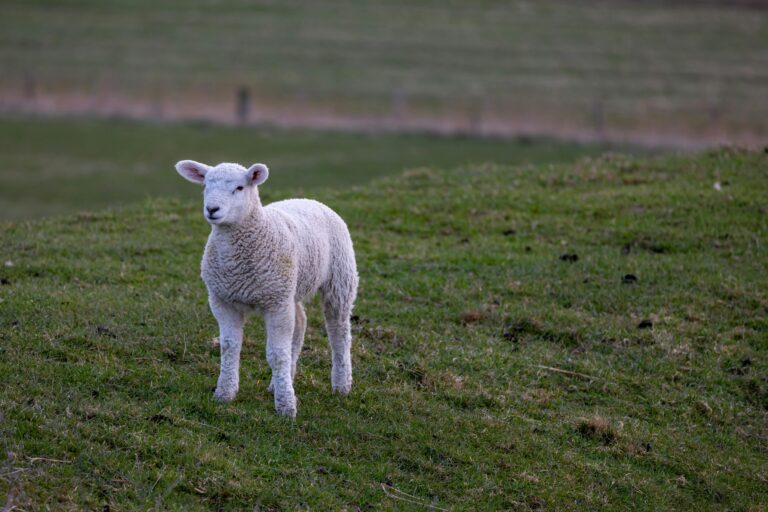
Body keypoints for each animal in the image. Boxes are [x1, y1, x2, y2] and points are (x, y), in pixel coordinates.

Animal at [175, 160, 358, 418]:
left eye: (240, 188)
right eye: (205, 185)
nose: (212, 209)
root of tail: (309, 199)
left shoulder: (275, 304)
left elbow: (277, 355)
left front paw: (286, 406)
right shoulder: (222, 301)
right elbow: (229, 347)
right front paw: (224, 393)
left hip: (339, 278)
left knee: (339, 331)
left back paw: (341, 385)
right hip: (289, 288)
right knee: (300, 323)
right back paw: (281, 381)